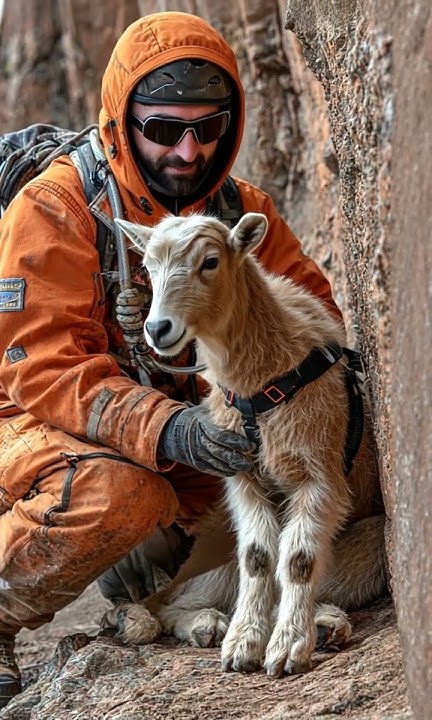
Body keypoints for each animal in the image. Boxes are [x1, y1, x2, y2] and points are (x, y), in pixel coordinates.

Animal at [106, 212, 386, 677]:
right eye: (147, 267)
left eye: (211, 261)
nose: (158, 328)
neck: (259, 385)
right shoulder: (243, 477)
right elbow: (257, 556)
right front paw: (244, 643)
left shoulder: (319, 474)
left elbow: (297, 559)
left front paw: (287, 645)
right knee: (167, 603)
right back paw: (194, 622)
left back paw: (322, 623)